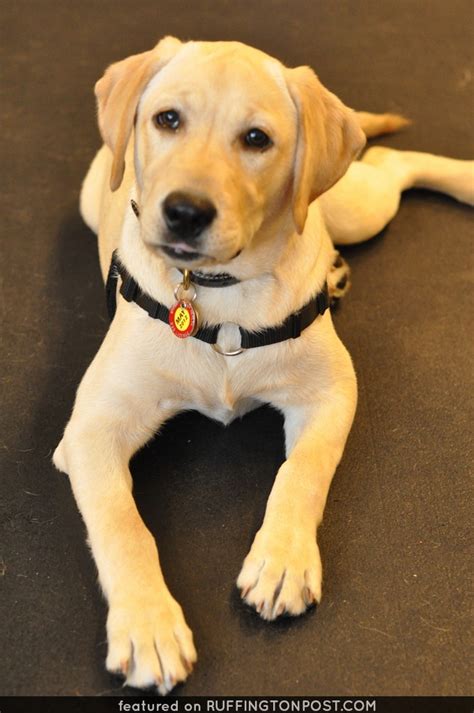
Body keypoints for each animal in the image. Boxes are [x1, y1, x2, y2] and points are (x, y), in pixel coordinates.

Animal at [53, 36, 472, 692]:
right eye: (167, 119)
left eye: (256, 139)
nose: (185, 212)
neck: (220, 296)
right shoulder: (88, 432)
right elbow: (123, 525)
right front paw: (148, 625)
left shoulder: (332, 390)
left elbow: (302, 472)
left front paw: (282, 561)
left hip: (356, 206)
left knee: (392, 164)